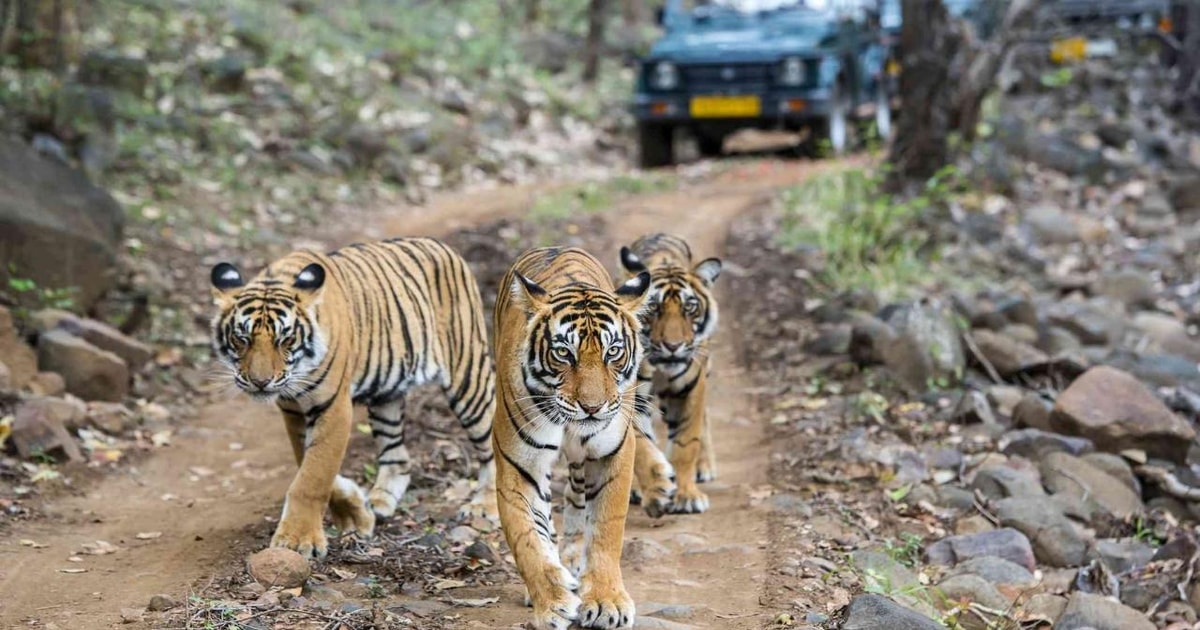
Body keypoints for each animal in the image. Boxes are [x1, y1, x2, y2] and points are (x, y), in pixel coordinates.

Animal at [208, 238, 497, 559]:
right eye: (241, 339)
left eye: (286, 339)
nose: (260, 382)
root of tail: (442, 246)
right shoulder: (294, 410)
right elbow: (308, 463)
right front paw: (356, 514)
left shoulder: (333, 407)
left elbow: (314, 475)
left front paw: (298, 540)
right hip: (387, 395)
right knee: (397, 456)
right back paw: (380, 502)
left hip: (468, 375)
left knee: (492, 442)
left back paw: (484, 506)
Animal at [492, 246, 664, 630]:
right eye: (562, 353)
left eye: (613, 352)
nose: (592, 407)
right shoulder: (518, 464)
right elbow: (528, 537)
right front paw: (553, 603)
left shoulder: (613, 454)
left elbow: (605, 531)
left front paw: (605, 601)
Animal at [619, 233, 722, 514]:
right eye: (654, 308)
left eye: (689, 308)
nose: (673, 346)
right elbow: (641, 445)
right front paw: (657, 490)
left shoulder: (691, 388)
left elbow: (686, 443)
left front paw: (687, 495)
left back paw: (704, 467)